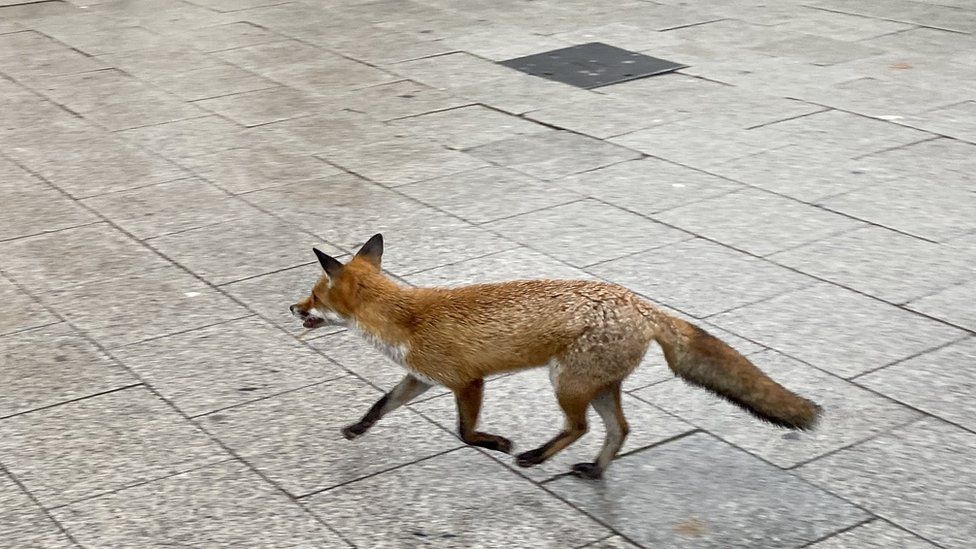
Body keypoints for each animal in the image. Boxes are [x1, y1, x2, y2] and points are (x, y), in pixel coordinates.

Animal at [290, 234, 821, 479]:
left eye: (314, 295)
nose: (293, 309)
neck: (407, 320)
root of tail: (641, 304)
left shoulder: (468, 381)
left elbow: (464, 433)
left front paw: (496, 443)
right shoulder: (420, 378)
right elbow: (380, 406)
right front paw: (356, 429)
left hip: (566, 384)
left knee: (579, 427)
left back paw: (535, 456)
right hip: (598, 386)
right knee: (619, 430)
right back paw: (596, 471)